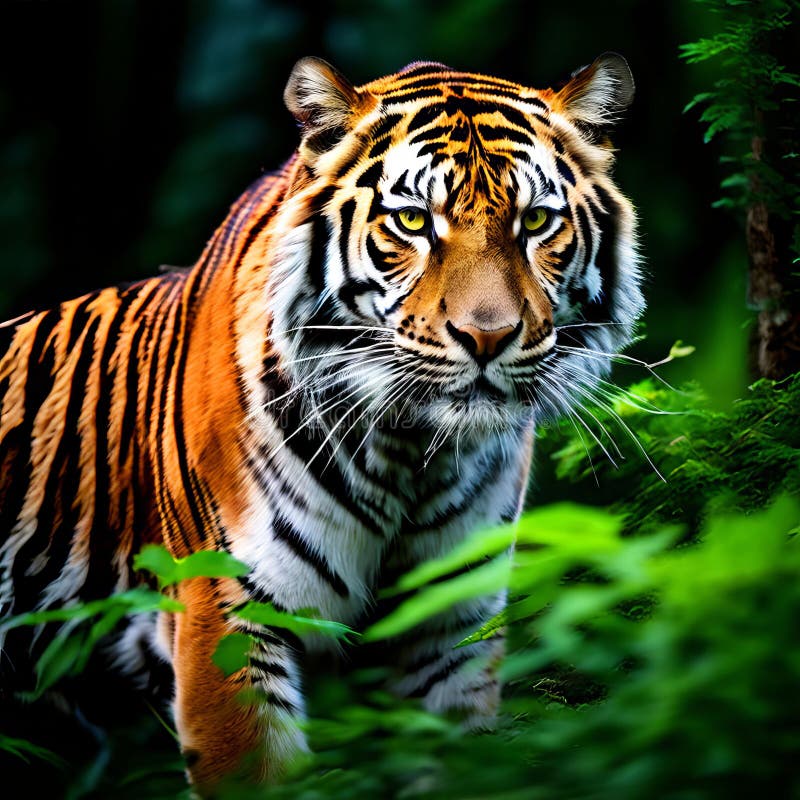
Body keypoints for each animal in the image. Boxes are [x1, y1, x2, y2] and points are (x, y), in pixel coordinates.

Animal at [0, 54, 643, 792]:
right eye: (413, 221)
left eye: (536, 221)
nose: (488, 337)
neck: (412, 451)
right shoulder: (227, 613)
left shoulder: (451, 625)